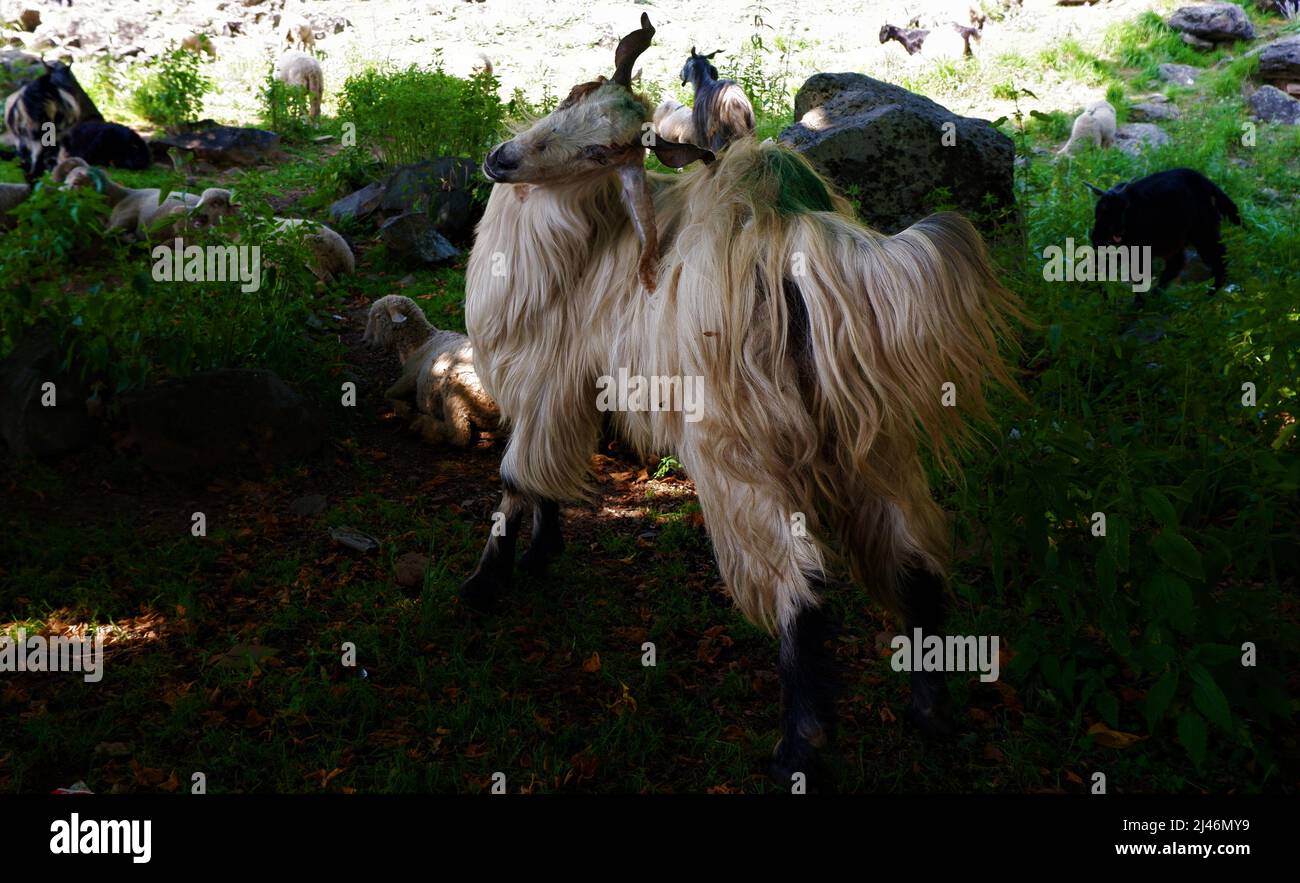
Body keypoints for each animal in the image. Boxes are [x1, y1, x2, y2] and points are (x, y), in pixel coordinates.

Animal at [363, 295, 501, 446]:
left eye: (377, 316)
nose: (364, 342)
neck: (422, 342)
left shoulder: (411, 377)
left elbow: (387, 394)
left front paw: (404, 408)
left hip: (456, 391)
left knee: (459, 436)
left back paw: (423, 424)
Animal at [465, 13, 1019, 786]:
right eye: (576, 94)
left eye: (603, 149)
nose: (503, 159)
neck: (584, 248)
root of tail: (802, 247)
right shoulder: (571, 392)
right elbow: (547, 479)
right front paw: (542, 553)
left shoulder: (548, 381)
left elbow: (516, 479)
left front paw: (485, 584)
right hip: (866, 435)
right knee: (912, 562)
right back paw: (931, 713)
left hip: (738, 449)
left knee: (801, 591)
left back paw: (799, 746)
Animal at [1089, 168, 1241, 303]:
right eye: (1106, 209)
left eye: (1125, 208)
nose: (1119, 230)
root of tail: (1201, 179)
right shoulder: (1100, 248)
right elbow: (1097, 272)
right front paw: (1104, 297)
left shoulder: (1141, 251)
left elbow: (1139, 279)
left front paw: (1138, 303)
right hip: (1175, 239)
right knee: (1177, 263)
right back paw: (1158, 293)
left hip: (1202, 232)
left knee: (1219, 257)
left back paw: (1211, 292)